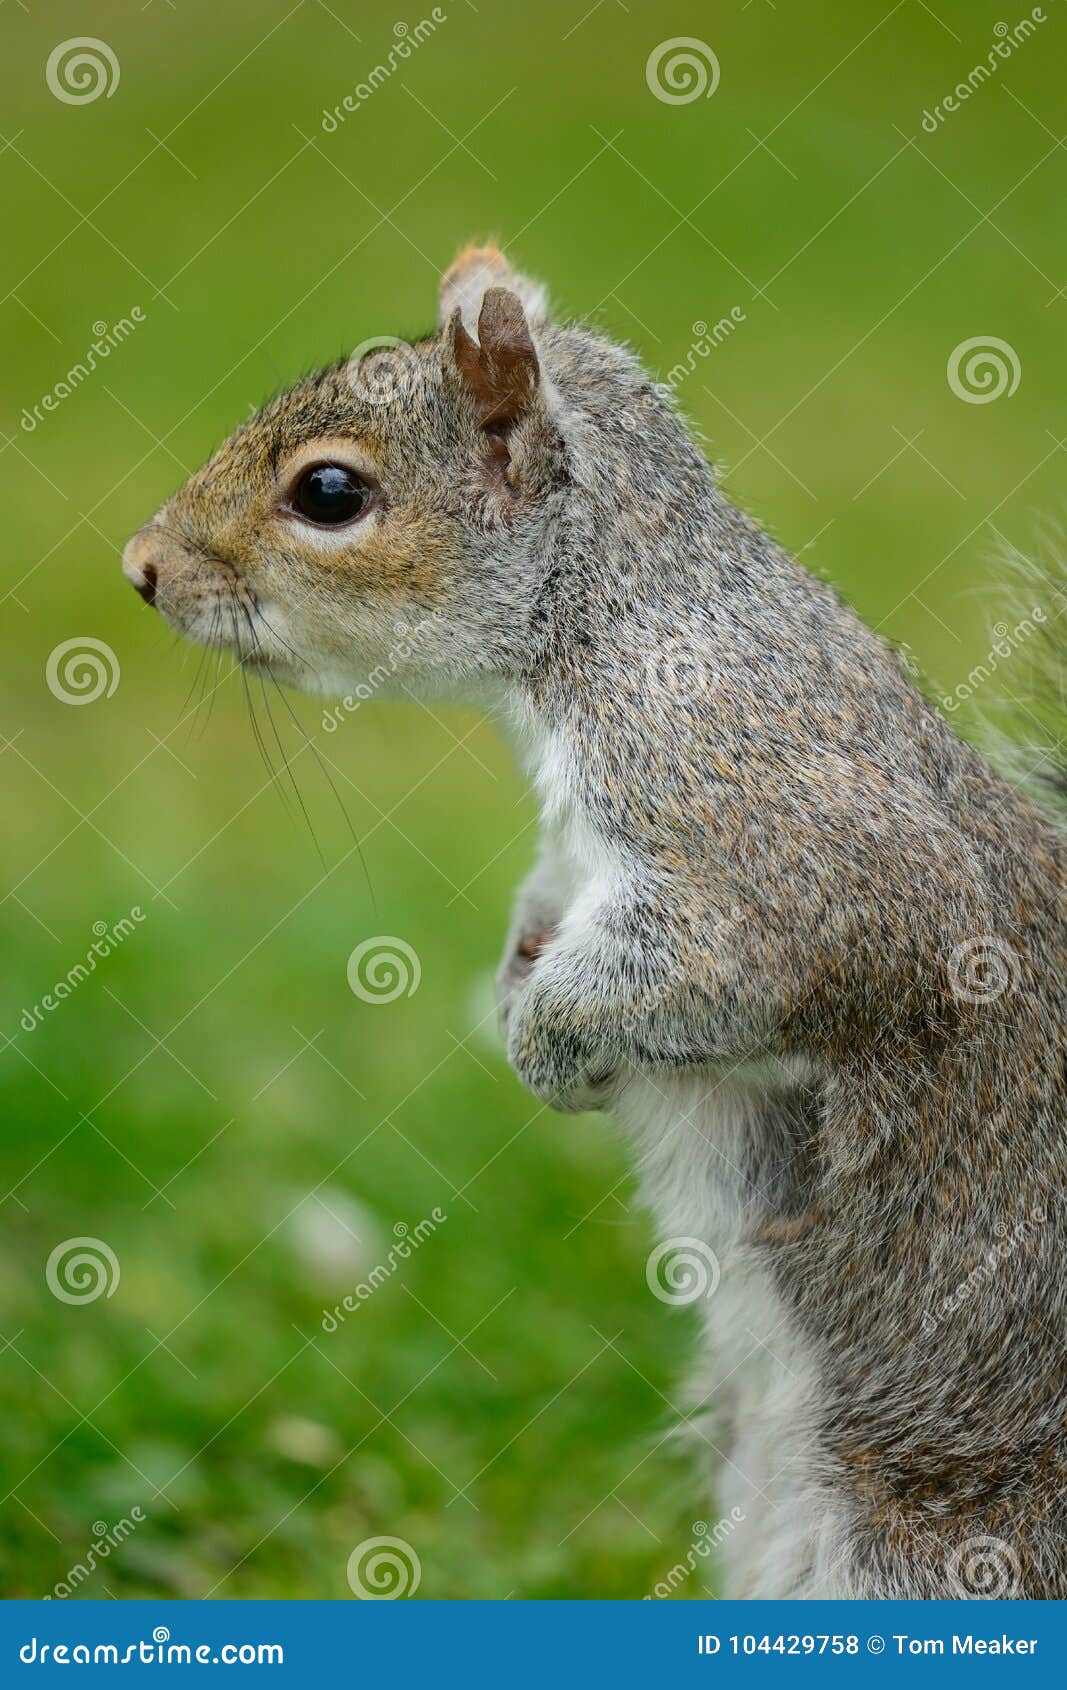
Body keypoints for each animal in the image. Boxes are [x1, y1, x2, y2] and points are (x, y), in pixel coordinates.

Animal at [123, 244, 1066, 1600]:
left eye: (330, 492)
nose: (141, 568)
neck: (594, 623)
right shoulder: (571, 857)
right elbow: (546, 909)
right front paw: (513, 988)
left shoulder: (749, 803)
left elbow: (796, 952)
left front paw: (550, 1042)